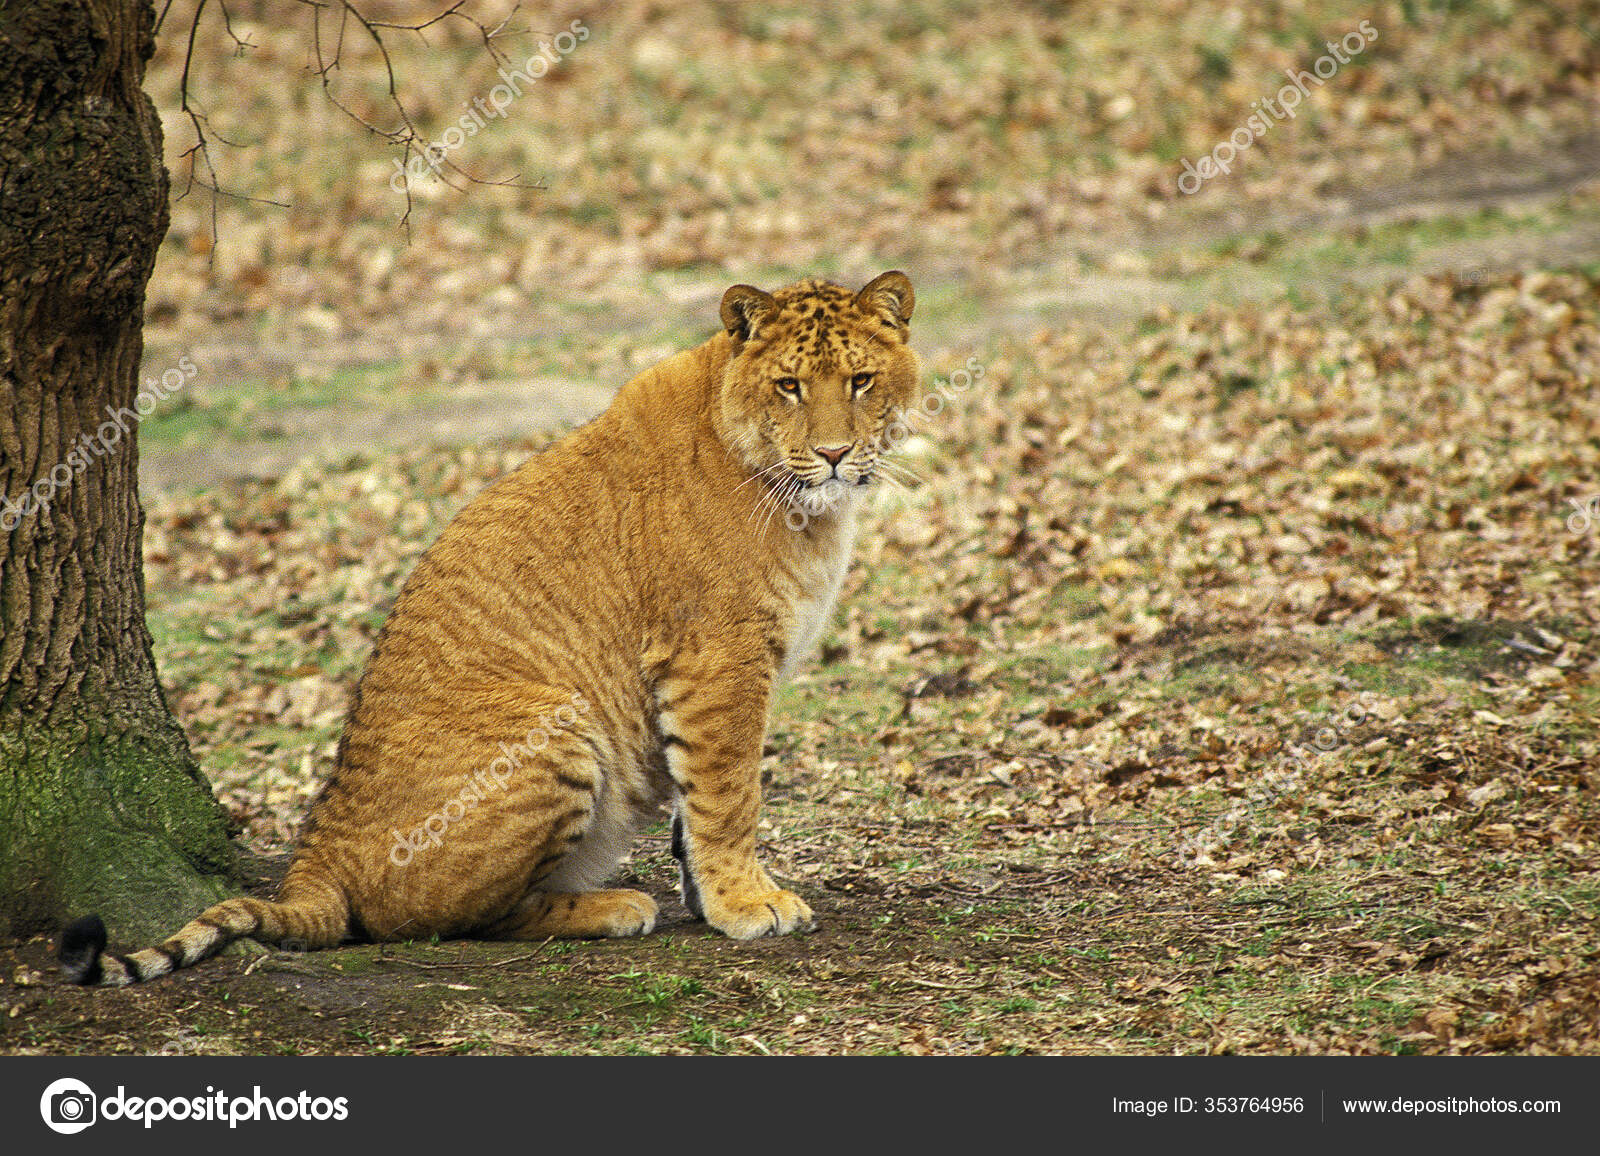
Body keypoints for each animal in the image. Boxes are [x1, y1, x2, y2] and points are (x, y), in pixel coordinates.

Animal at [59, 271, 919, 984]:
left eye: (861, 380)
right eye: (789, 387)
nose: (836, 453)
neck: (807, 506)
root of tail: (315, 860)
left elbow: (691, 807)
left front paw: (711, 900)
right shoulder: (716, 657)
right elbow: (728, 793)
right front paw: (747, 904)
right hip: (559, 726)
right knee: (447, 919)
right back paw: (614, 908)